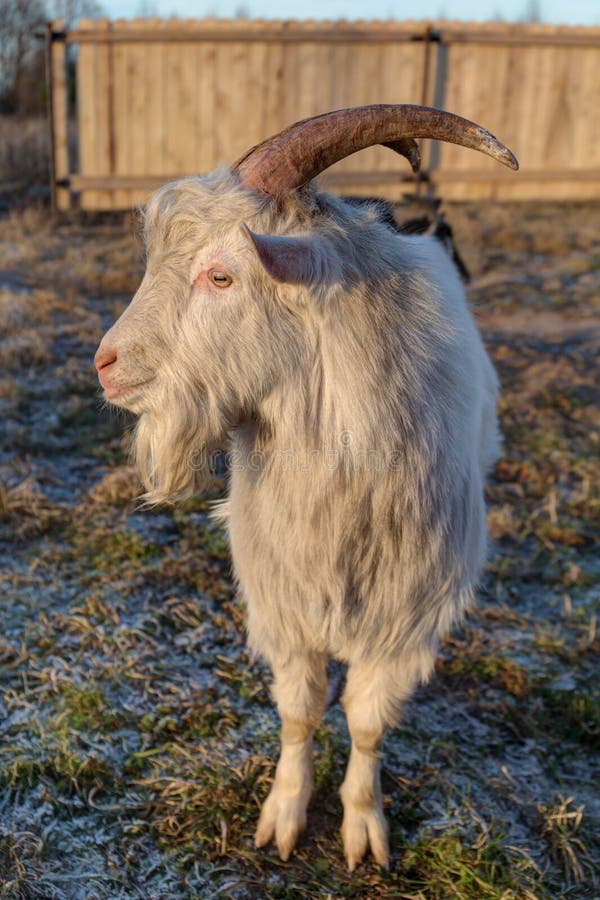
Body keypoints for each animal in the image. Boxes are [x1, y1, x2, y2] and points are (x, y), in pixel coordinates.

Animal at [94, 105, 517, 870]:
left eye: (221, 276)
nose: (106, 363)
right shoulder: (283, 604)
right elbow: (299, 711)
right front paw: (284, 817)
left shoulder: (405, 620)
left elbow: (367, 723)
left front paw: (363, 830)